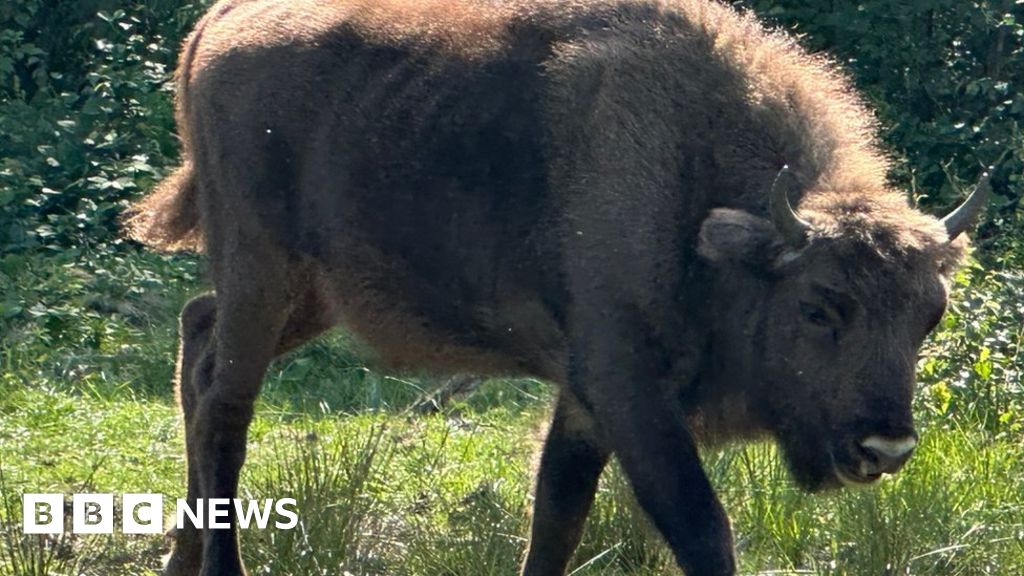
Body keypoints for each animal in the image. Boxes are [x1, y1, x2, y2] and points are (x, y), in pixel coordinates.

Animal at [125, 0, 989, 574]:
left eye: (929, 318)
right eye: (817, 308)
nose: (886, 446)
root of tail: (219, 24)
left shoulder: (582, 401)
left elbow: (557, 514)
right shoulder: (625, 389)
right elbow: (699, 526)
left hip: (309, 295)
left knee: (197, 339)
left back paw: (180, 560)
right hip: (262, 274)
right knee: (227, 409)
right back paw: (220, 566)